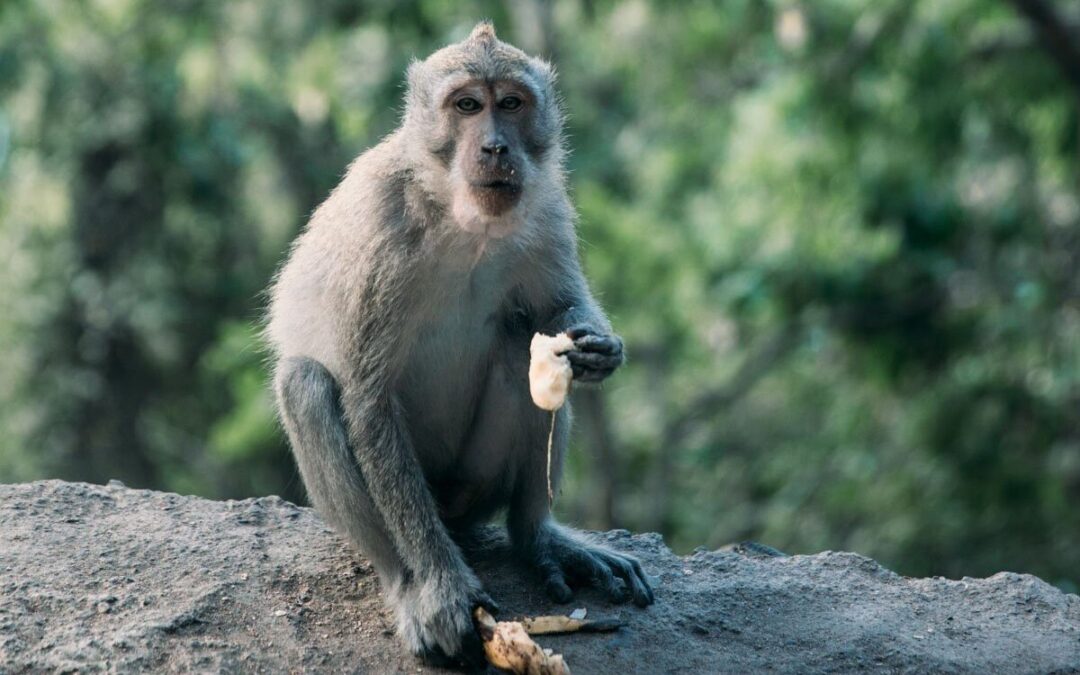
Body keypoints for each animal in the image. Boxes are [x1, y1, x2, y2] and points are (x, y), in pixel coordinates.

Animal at [265, 23, 654, 669]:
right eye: (467, 105)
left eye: (512, 104)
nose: (496, 148)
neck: (462, 217)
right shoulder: (380, 229)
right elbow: (368, 402)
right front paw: (441, 587)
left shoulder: (548, 206)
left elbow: (554, 312)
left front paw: (600, 349)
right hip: (430, 502)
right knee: (306, 383)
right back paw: (406, 583)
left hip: (476, 486)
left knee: (520, 342)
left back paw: (538, 536)